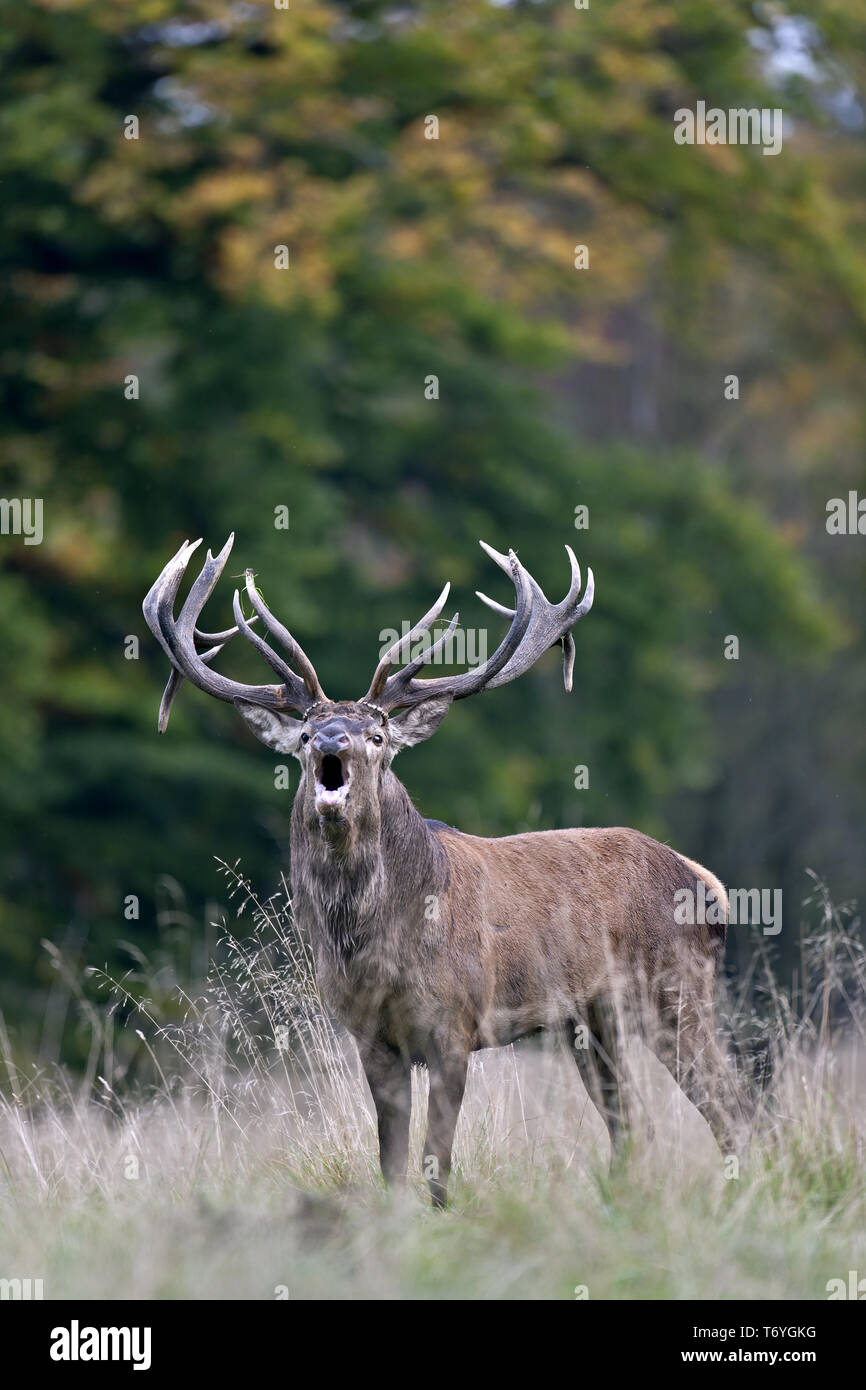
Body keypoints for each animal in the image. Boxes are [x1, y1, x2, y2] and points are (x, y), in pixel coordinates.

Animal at [144, 534, 749, 1207]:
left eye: (377, 733)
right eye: (303, 733)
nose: (331, 740)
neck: (378, 944)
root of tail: (705, 880)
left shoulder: (455, 1025)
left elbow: (437, 1161)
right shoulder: (370, 1038)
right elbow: (391, 1161)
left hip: (675, 988)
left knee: (731, 1105)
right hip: (591, 1018)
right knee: (633, 1119)